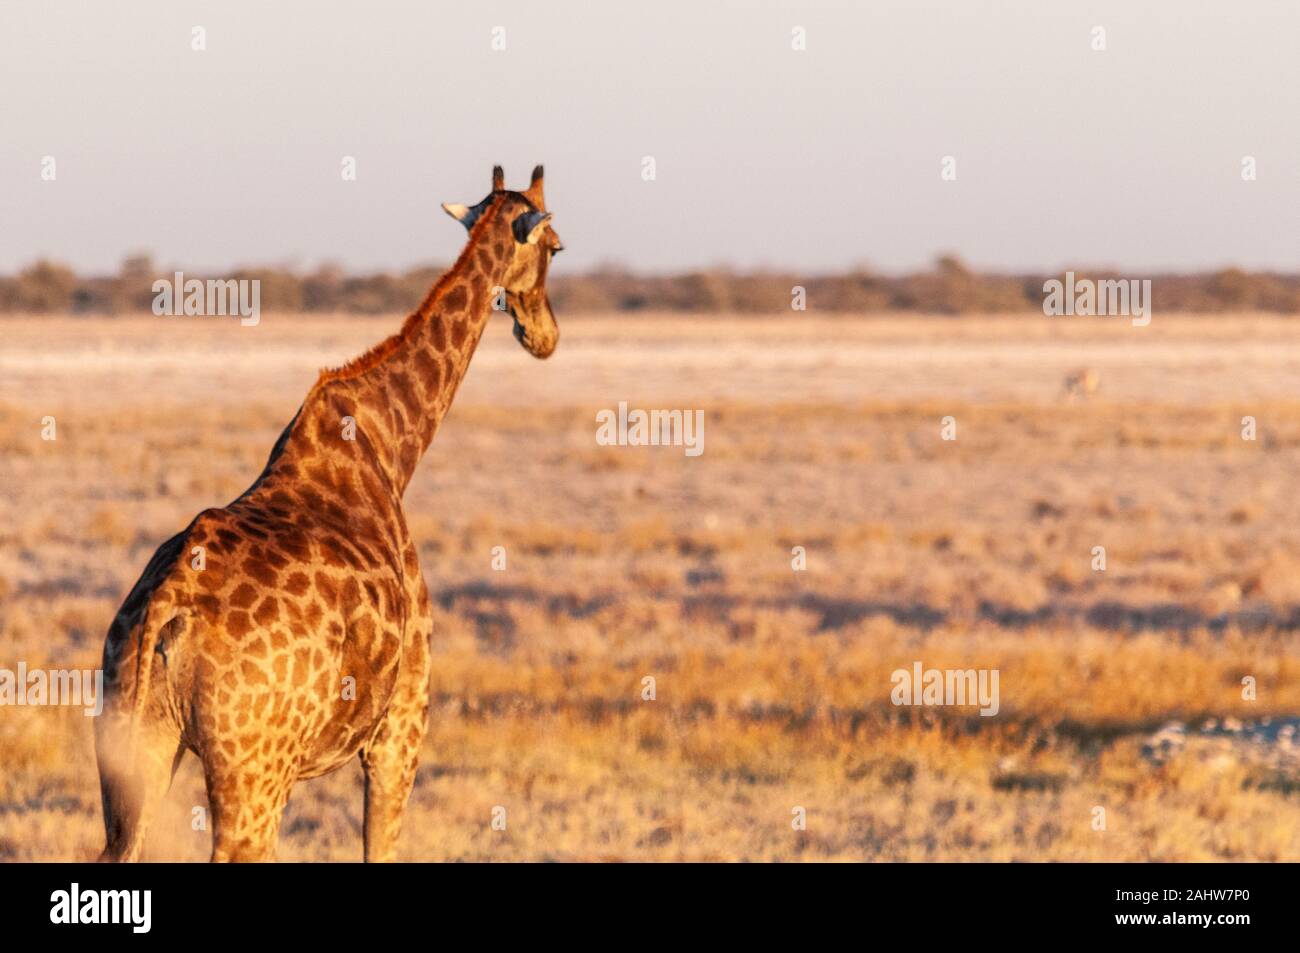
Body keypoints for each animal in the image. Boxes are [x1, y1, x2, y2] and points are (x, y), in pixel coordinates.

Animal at [95, 165, 563, 862]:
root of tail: (168, 604)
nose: (544, 336)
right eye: (556, 247)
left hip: (135, 741)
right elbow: (381, 847)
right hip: (255, 766)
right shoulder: (403, 721)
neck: (394, 445)